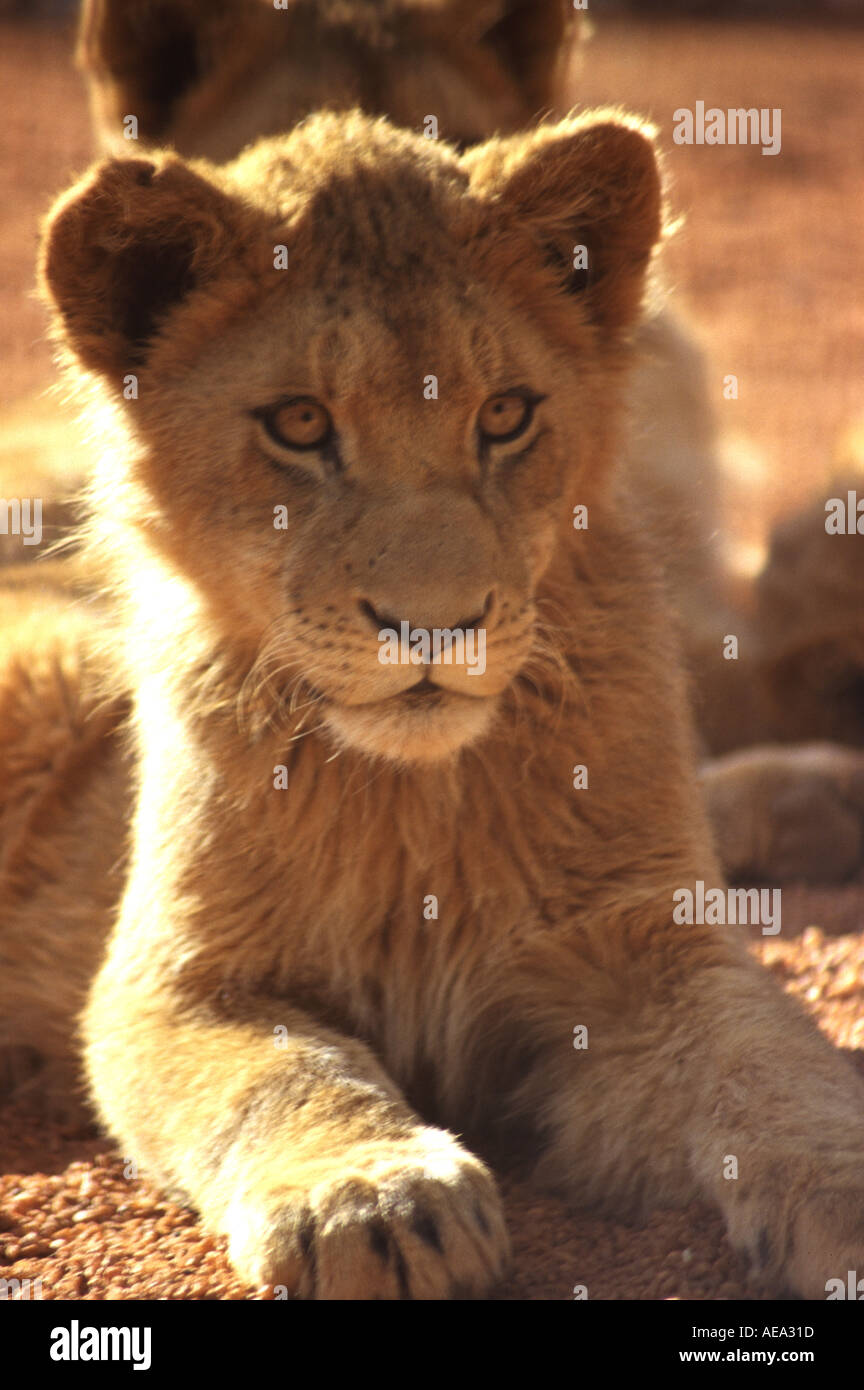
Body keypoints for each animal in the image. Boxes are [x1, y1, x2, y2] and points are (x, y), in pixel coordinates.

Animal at [4, 106, 864, 1300]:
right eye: (299, 423)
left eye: (505, 414)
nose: (436, 625)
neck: (418, 796)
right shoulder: (170, 987)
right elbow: (282, 1073)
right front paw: (371, 1198)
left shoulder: (648, 953)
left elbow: (772, 1064)